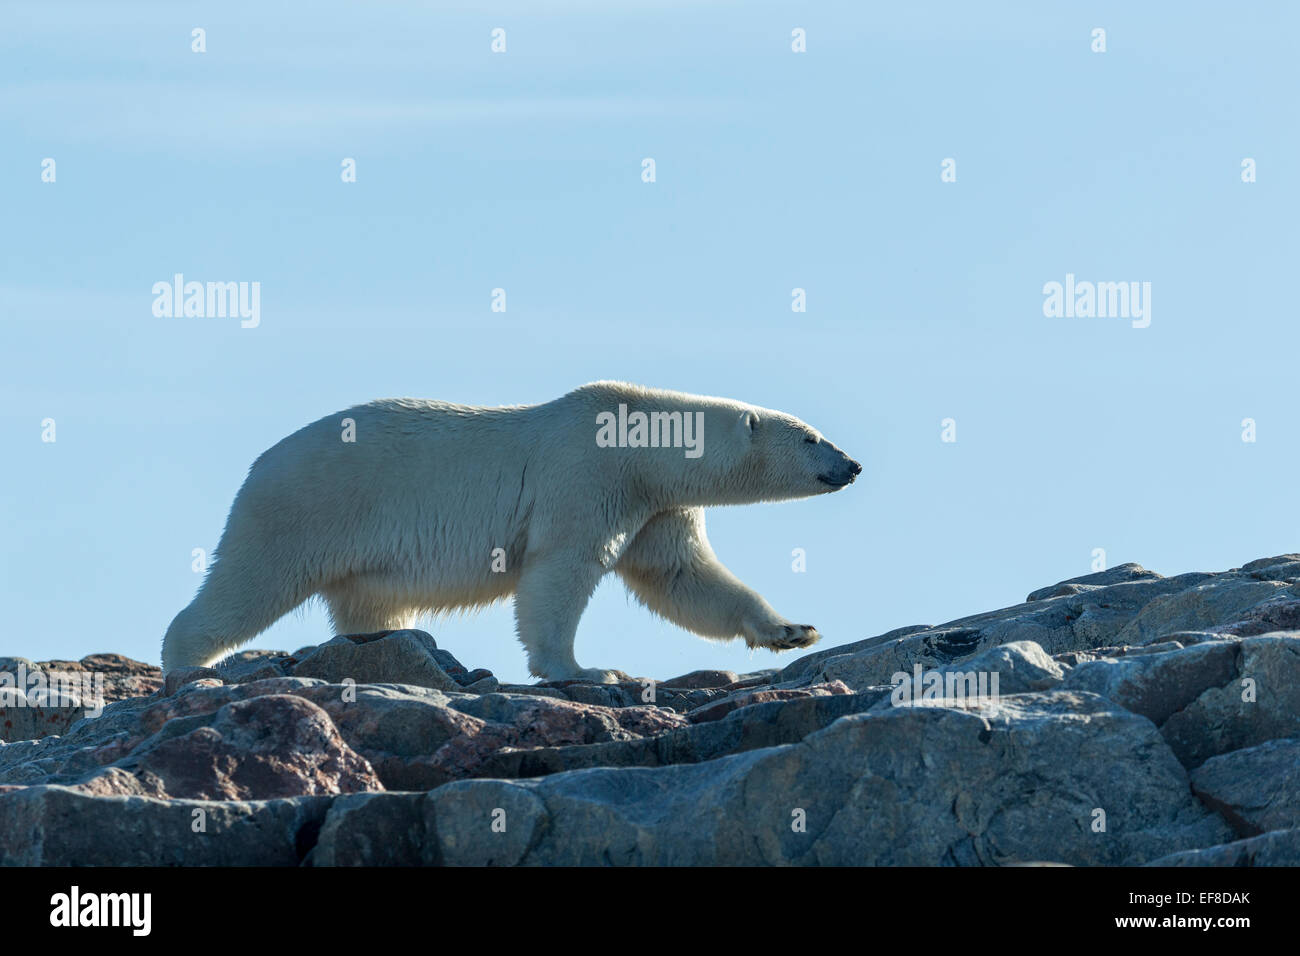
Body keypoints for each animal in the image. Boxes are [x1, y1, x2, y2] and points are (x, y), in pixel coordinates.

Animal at [161, 381, 862, 682]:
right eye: (810, 437)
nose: (852, 464)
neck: (640, 437)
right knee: (251, 580)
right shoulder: (588, 476)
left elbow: (682, 577)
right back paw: (188, 662)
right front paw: (586, 671)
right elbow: (560, 574)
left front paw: (792, 630)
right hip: (305, 505)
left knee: (370, 602)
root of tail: (259, 462)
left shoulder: (655, 505)